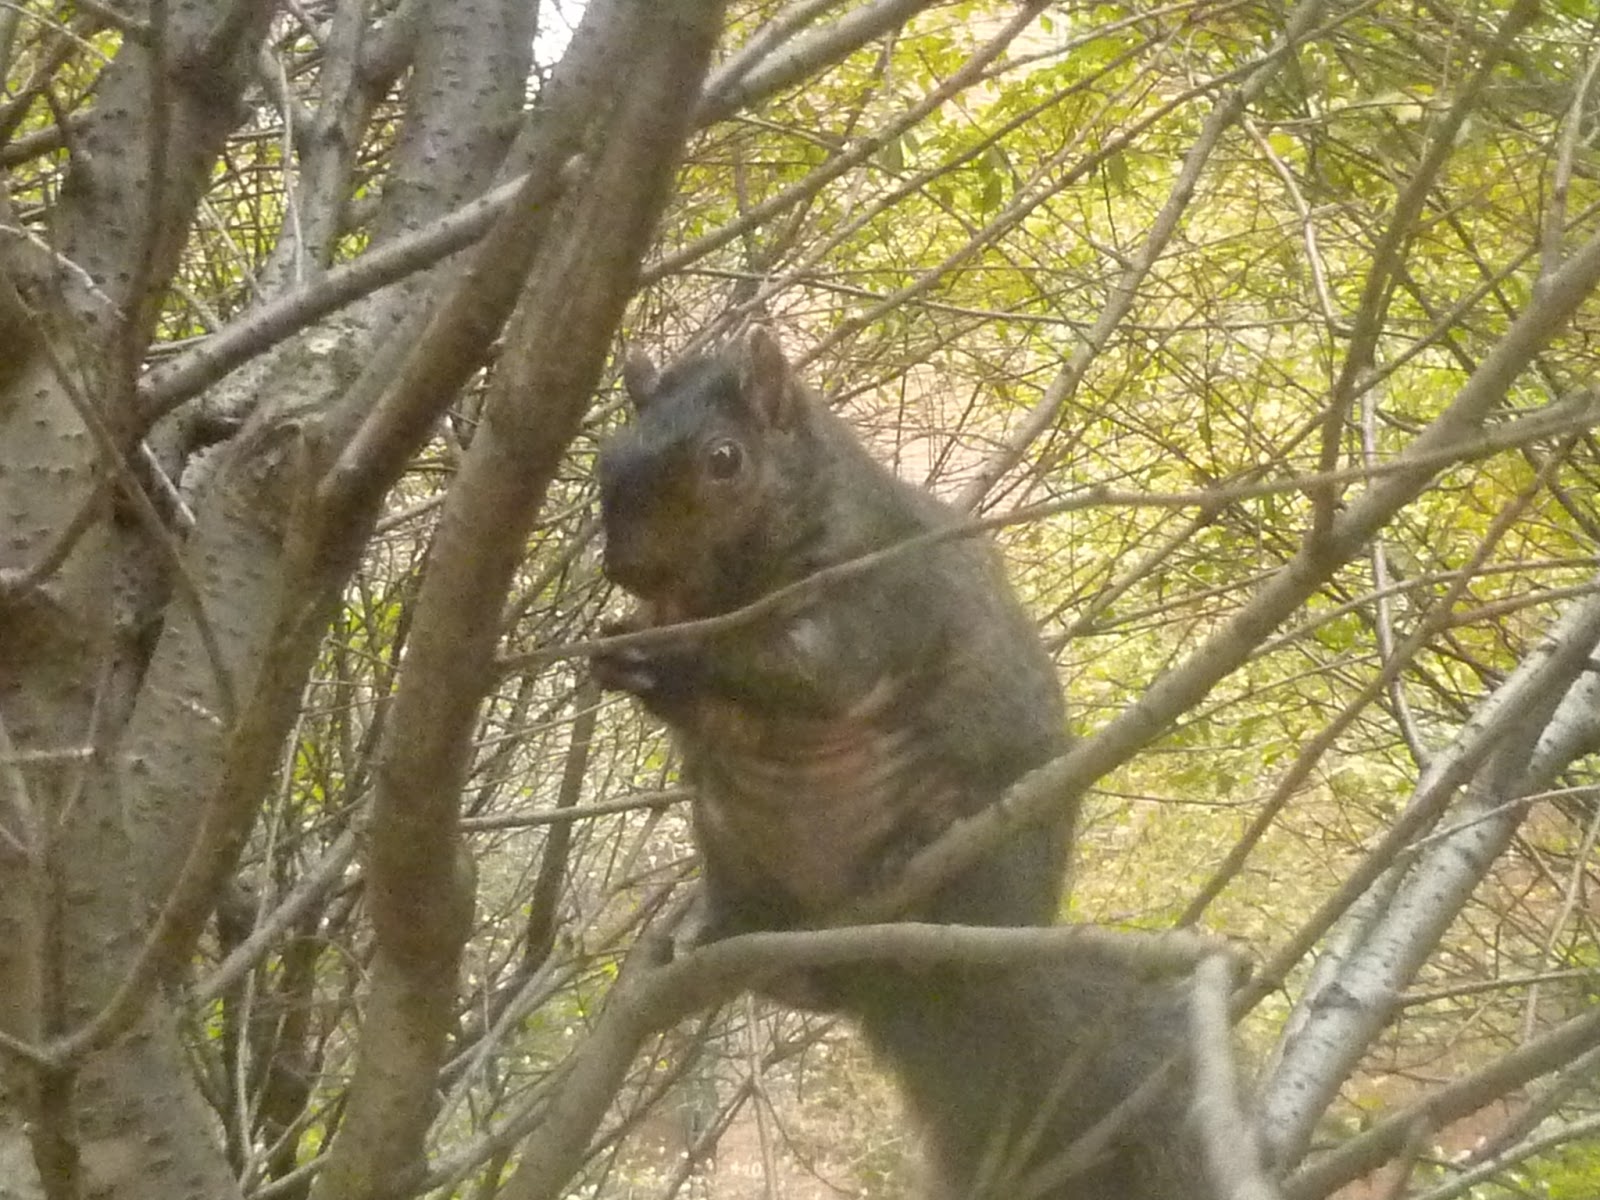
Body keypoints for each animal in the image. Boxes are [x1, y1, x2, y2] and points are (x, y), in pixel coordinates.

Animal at [592, 328, 1207, 1200]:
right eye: (608, 452)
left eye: (725, 459)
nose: (624, 567)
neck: (729, 586)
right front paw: (624, 655)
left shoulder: (880, 589)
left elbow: (811, 673)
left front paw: (667, 656)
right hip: (728, 841)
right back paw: (721, 931)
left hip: (986, 852)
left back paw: (910, 856)